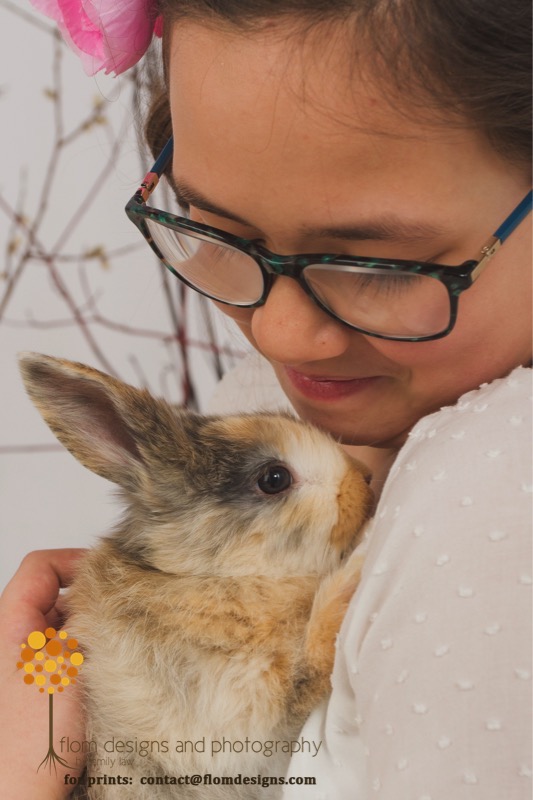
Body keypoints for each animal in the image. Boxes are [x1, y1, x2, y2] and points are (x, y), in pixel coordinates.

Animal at [19, 353, 373, 799]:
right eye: (274, 478)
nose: (366, 480)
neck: (218, 573)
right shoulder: (237, 709)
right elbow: (314, 654)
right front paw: (355, 567)